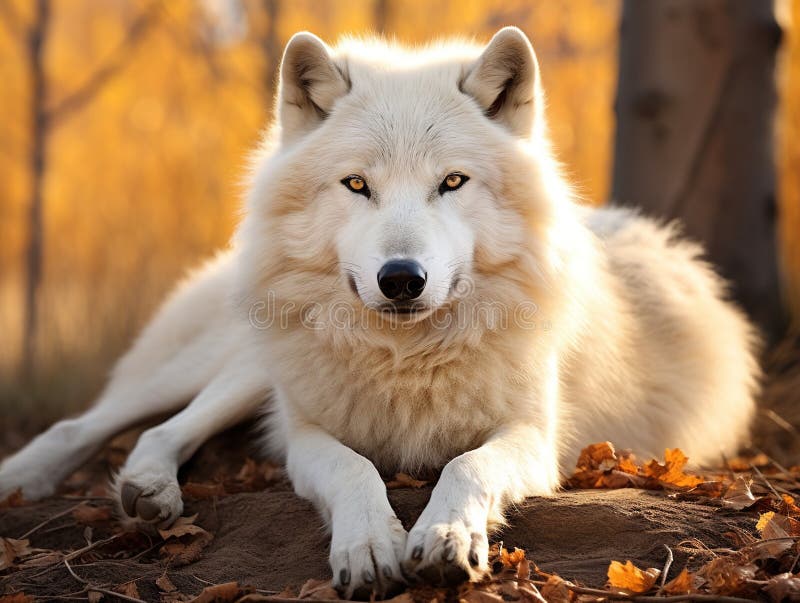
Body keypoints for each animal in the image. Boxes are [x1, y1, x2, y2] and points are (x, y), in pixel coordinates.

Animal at [0, 27, 758, 598]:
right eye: (357, 184)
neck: (407, 362)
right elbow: (353, 470)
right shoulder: (303, 431)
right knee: (115, 423)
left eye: (451, 181)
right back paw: (88, 482)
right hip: (247, 367)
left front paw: (445, 536)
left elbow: (467, 466)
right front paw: (369, 546)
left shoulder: (534, 437)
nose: (401, 279)